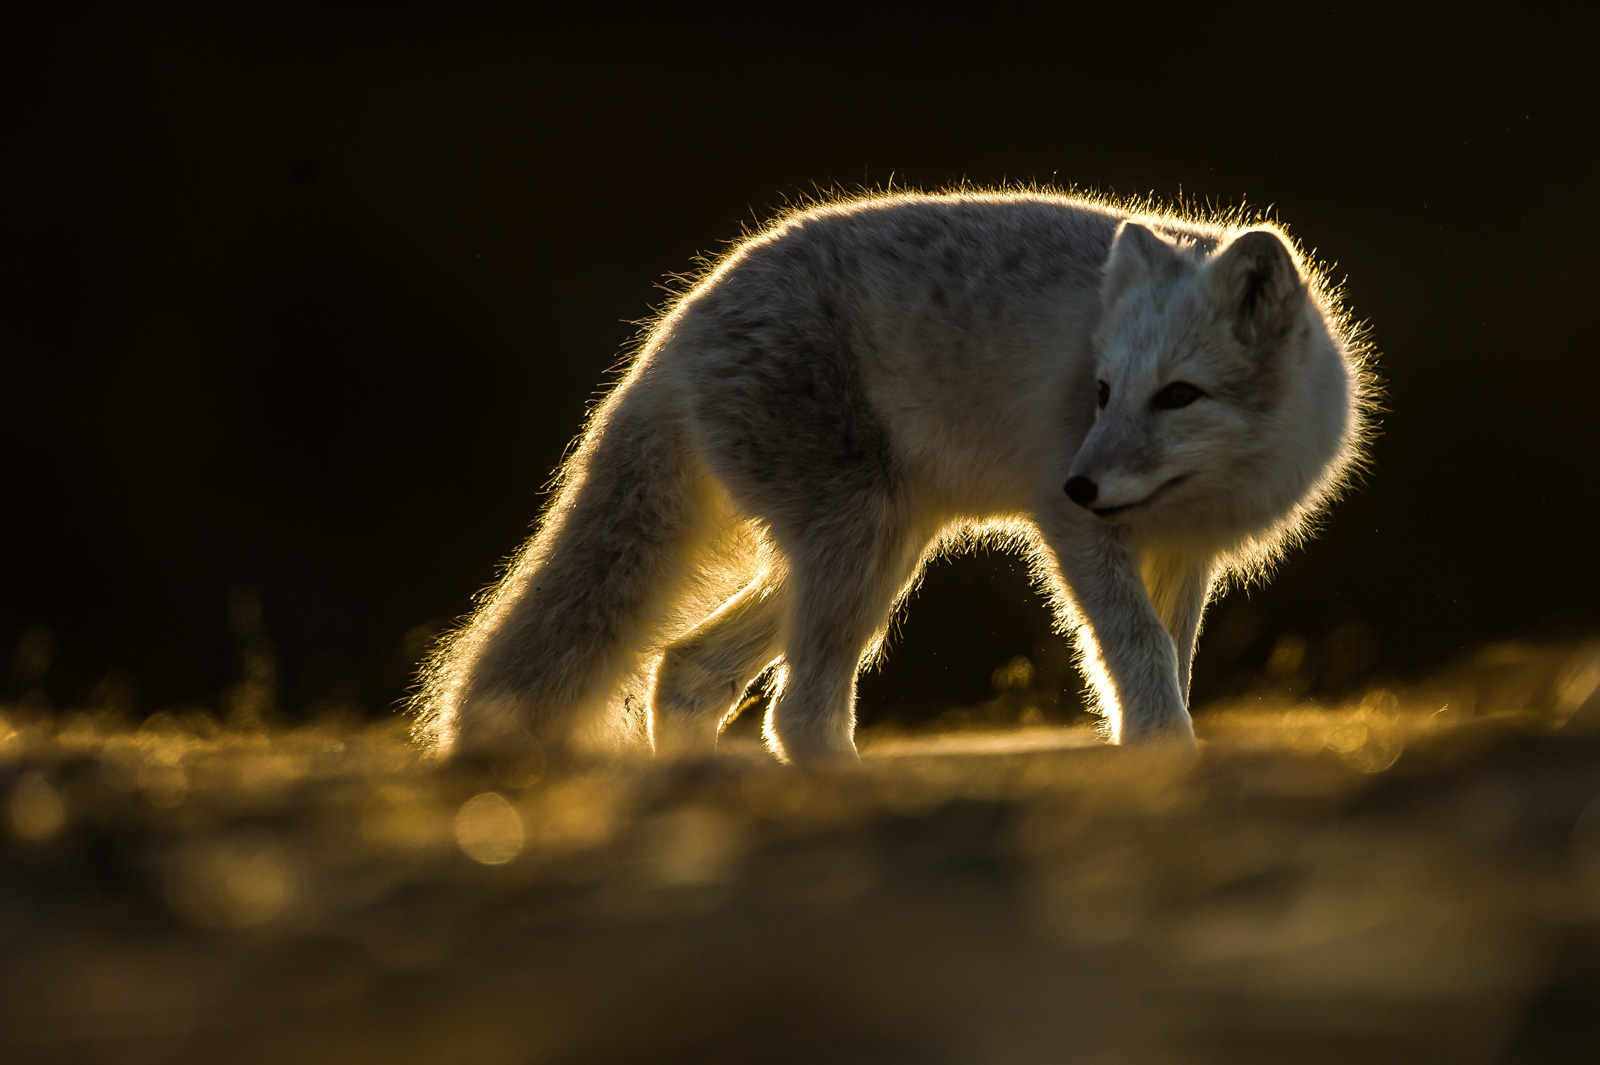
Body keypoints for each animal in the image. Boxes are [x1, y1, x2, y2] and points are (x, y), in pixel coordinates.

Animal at [414, 190, 1374, 766]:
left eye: (1179, 395)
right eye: (1101, 392)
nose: (1079, 483)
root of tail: (680, 319)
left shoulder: (1183, 556)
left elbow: (1166, 655)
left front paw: (1158, 749)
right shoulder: (1078, 536)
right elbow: (1137, 651)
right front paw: (1164, 753)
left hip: (877, 551)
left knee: (685, 669)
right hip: (863, 547)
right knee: (794, 712)